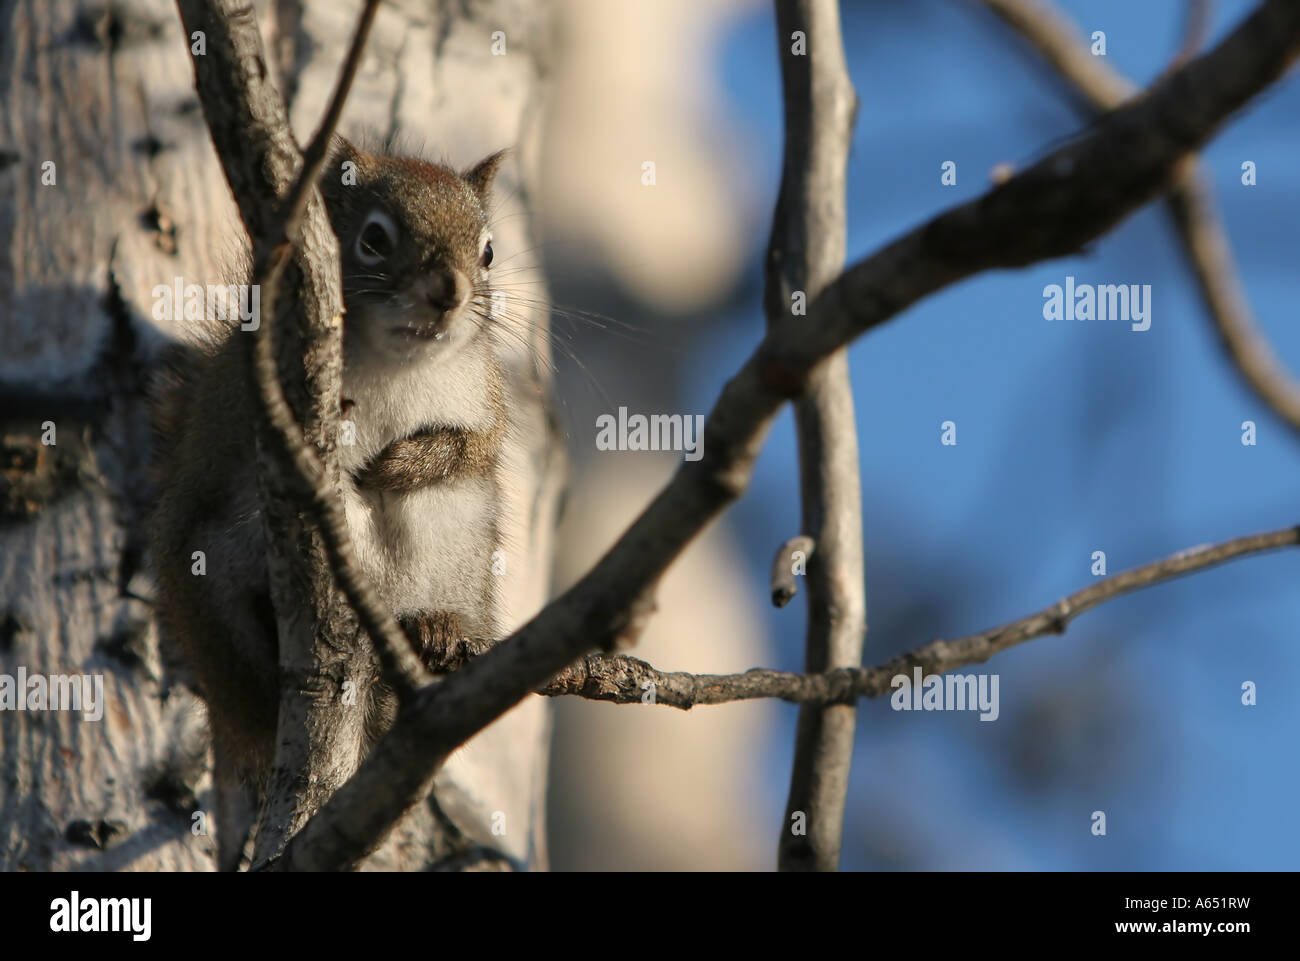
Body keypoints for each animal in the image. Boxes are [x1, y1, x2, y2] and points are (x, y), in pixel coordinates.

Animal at [149, 138, 509, 869]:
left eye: (488, 251)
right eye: (374, 239)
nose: (450, 292)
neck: (401, 361)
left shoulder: (486, 400)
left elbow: (472, 449)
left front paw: (403, 463)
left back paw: (434, 630)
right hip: (208, 581)